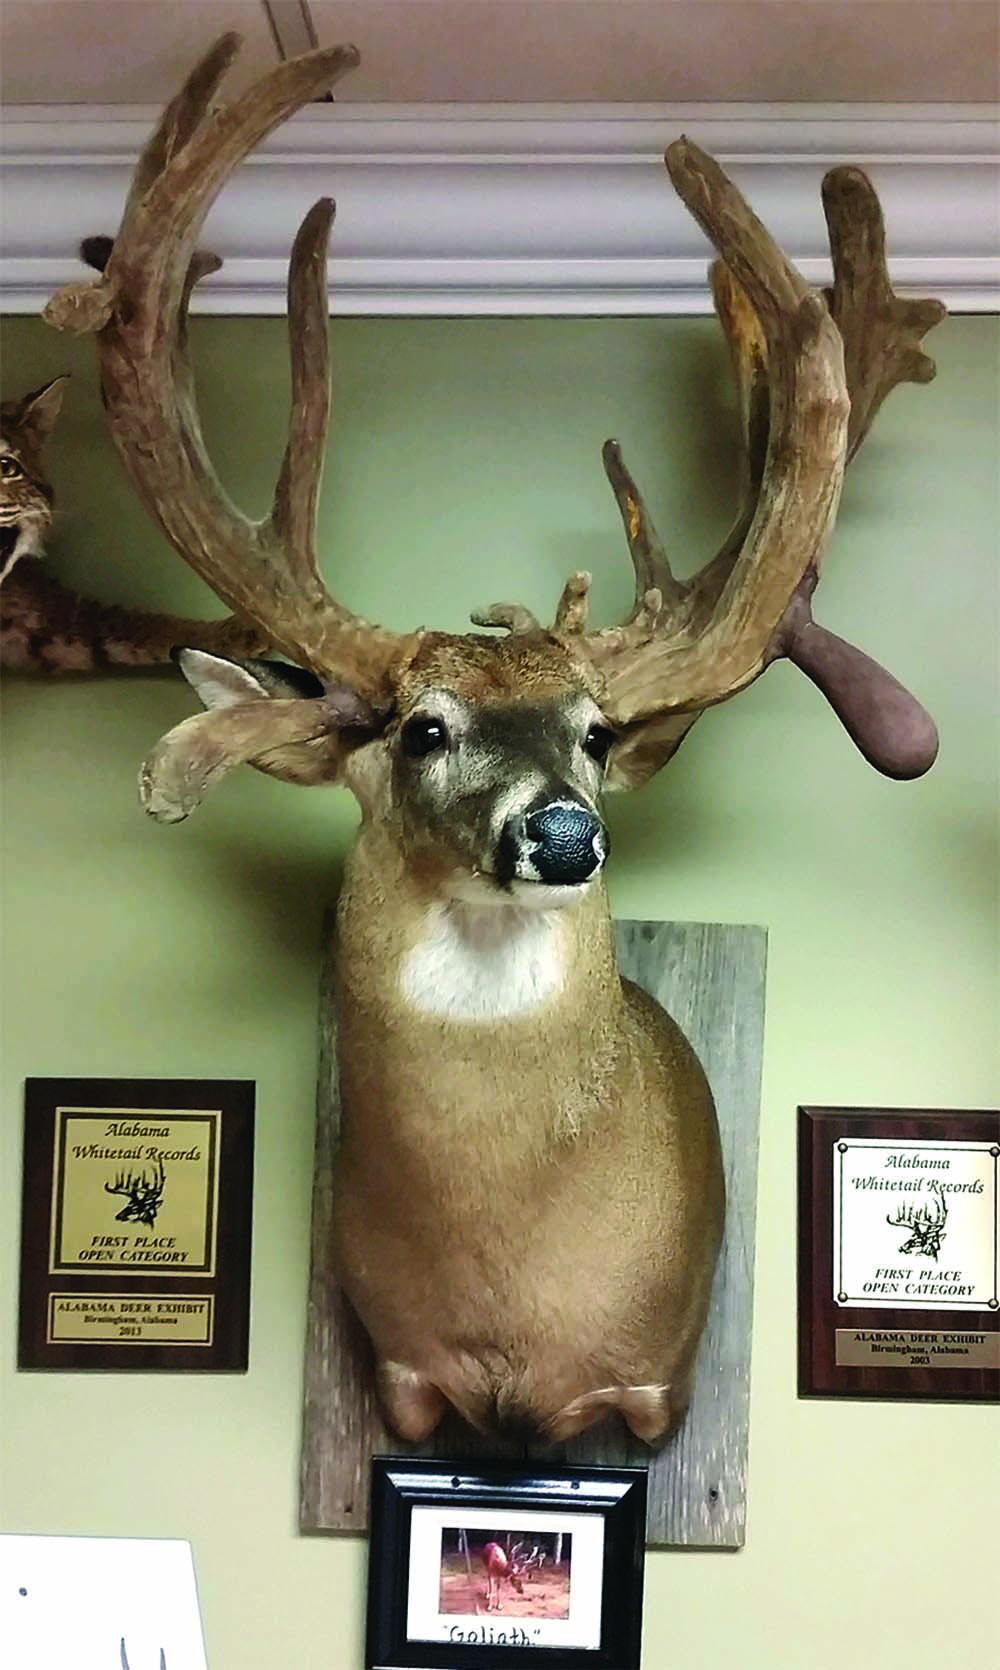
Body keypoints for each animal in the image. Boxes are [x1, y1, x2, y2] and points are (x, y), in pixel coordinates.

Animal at [43, 35, 943, 1446]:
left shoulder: (655, 1382)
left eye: (594, 732)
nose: (564, 831)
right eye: (423, 726)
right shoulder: (404, 1373)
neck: (515, 1285)